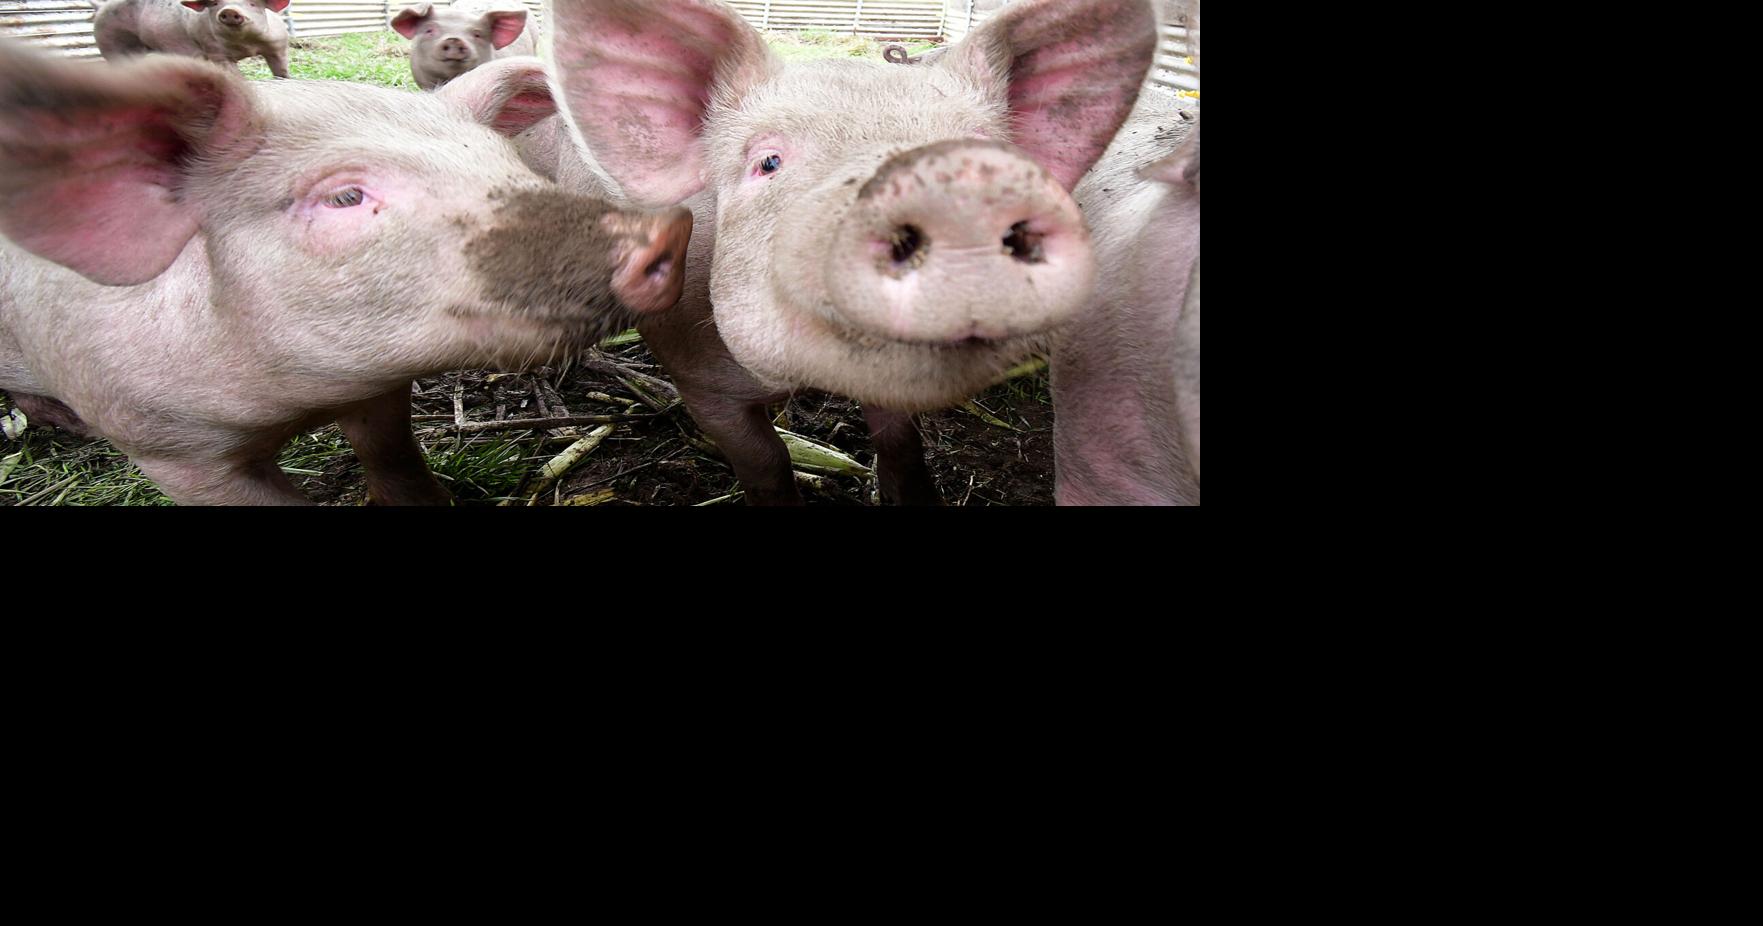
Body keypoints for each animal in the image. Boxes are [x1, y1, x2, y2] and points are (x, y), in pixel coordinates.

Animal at [0, 42, 691, 505]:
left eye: (508, 163)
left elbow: (391, 454)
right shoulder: (167, 448)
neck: (295, 403)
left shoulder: (376, 385)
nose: (665, 228)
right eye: (344, 198)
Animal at [94, 0, 292, 79]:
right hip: (111, 43)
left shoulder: (278, 45)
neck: (246, 45)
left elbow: (281, 70)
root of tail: (101, 7)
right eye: (215, 4)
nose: (229, 10)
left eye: (252, 4)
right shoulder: (215, 51)